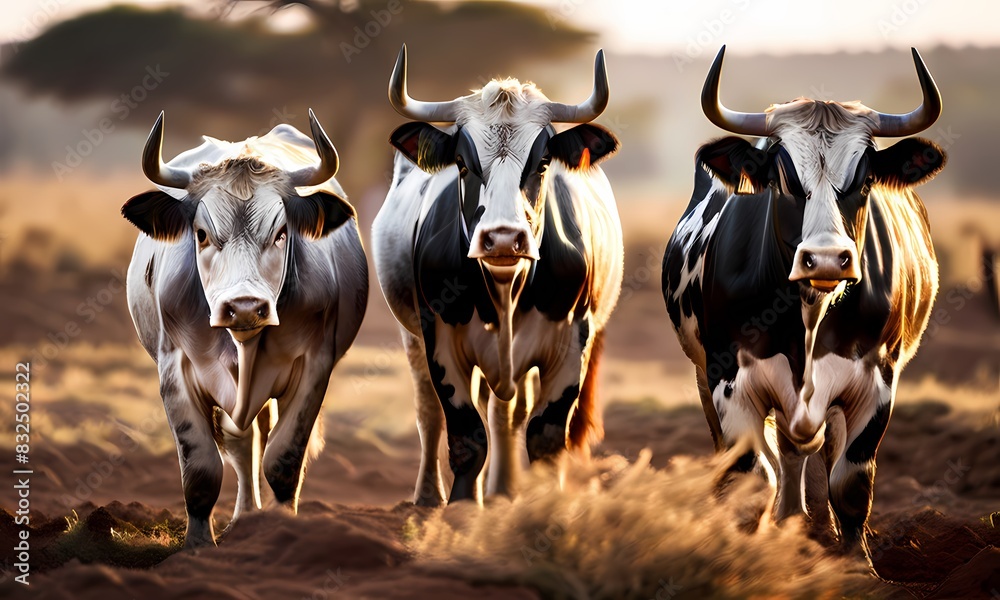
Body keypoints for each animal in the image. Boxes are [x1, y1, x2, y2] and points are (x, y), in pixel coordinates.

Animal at [122, 111, 368, 547]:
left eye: (282, 233)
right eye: (202, 234)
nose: (244, 307)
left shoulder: (314, 367)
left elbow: (283, 459)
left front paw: (283, 531)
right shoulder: (175, 369)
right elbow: (201, 469)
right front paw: (198, 546)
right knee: (242, 443)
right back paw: (245, 517)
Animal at [372, 46, 623, 505]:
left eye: (543, 162)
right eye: (461, 163)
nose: (503, 238)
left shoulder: (572, 344)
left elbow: (544, 437)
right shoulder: (439, 341)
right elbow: (465, 434)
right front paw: (461, 507)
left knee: (506, 412)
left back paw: (504, 489)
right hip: (412, 338)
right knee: (430, 413)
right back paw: (429, 494)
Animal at [662, 47, 944, 556]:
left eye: (865, 179)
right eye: (781, 178)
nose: (827, 259)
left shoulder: (878, 379)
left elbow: (850, 483)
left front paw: (856, 563)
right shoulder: (726, 377)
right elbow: (753, 480)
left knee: (817, 454)